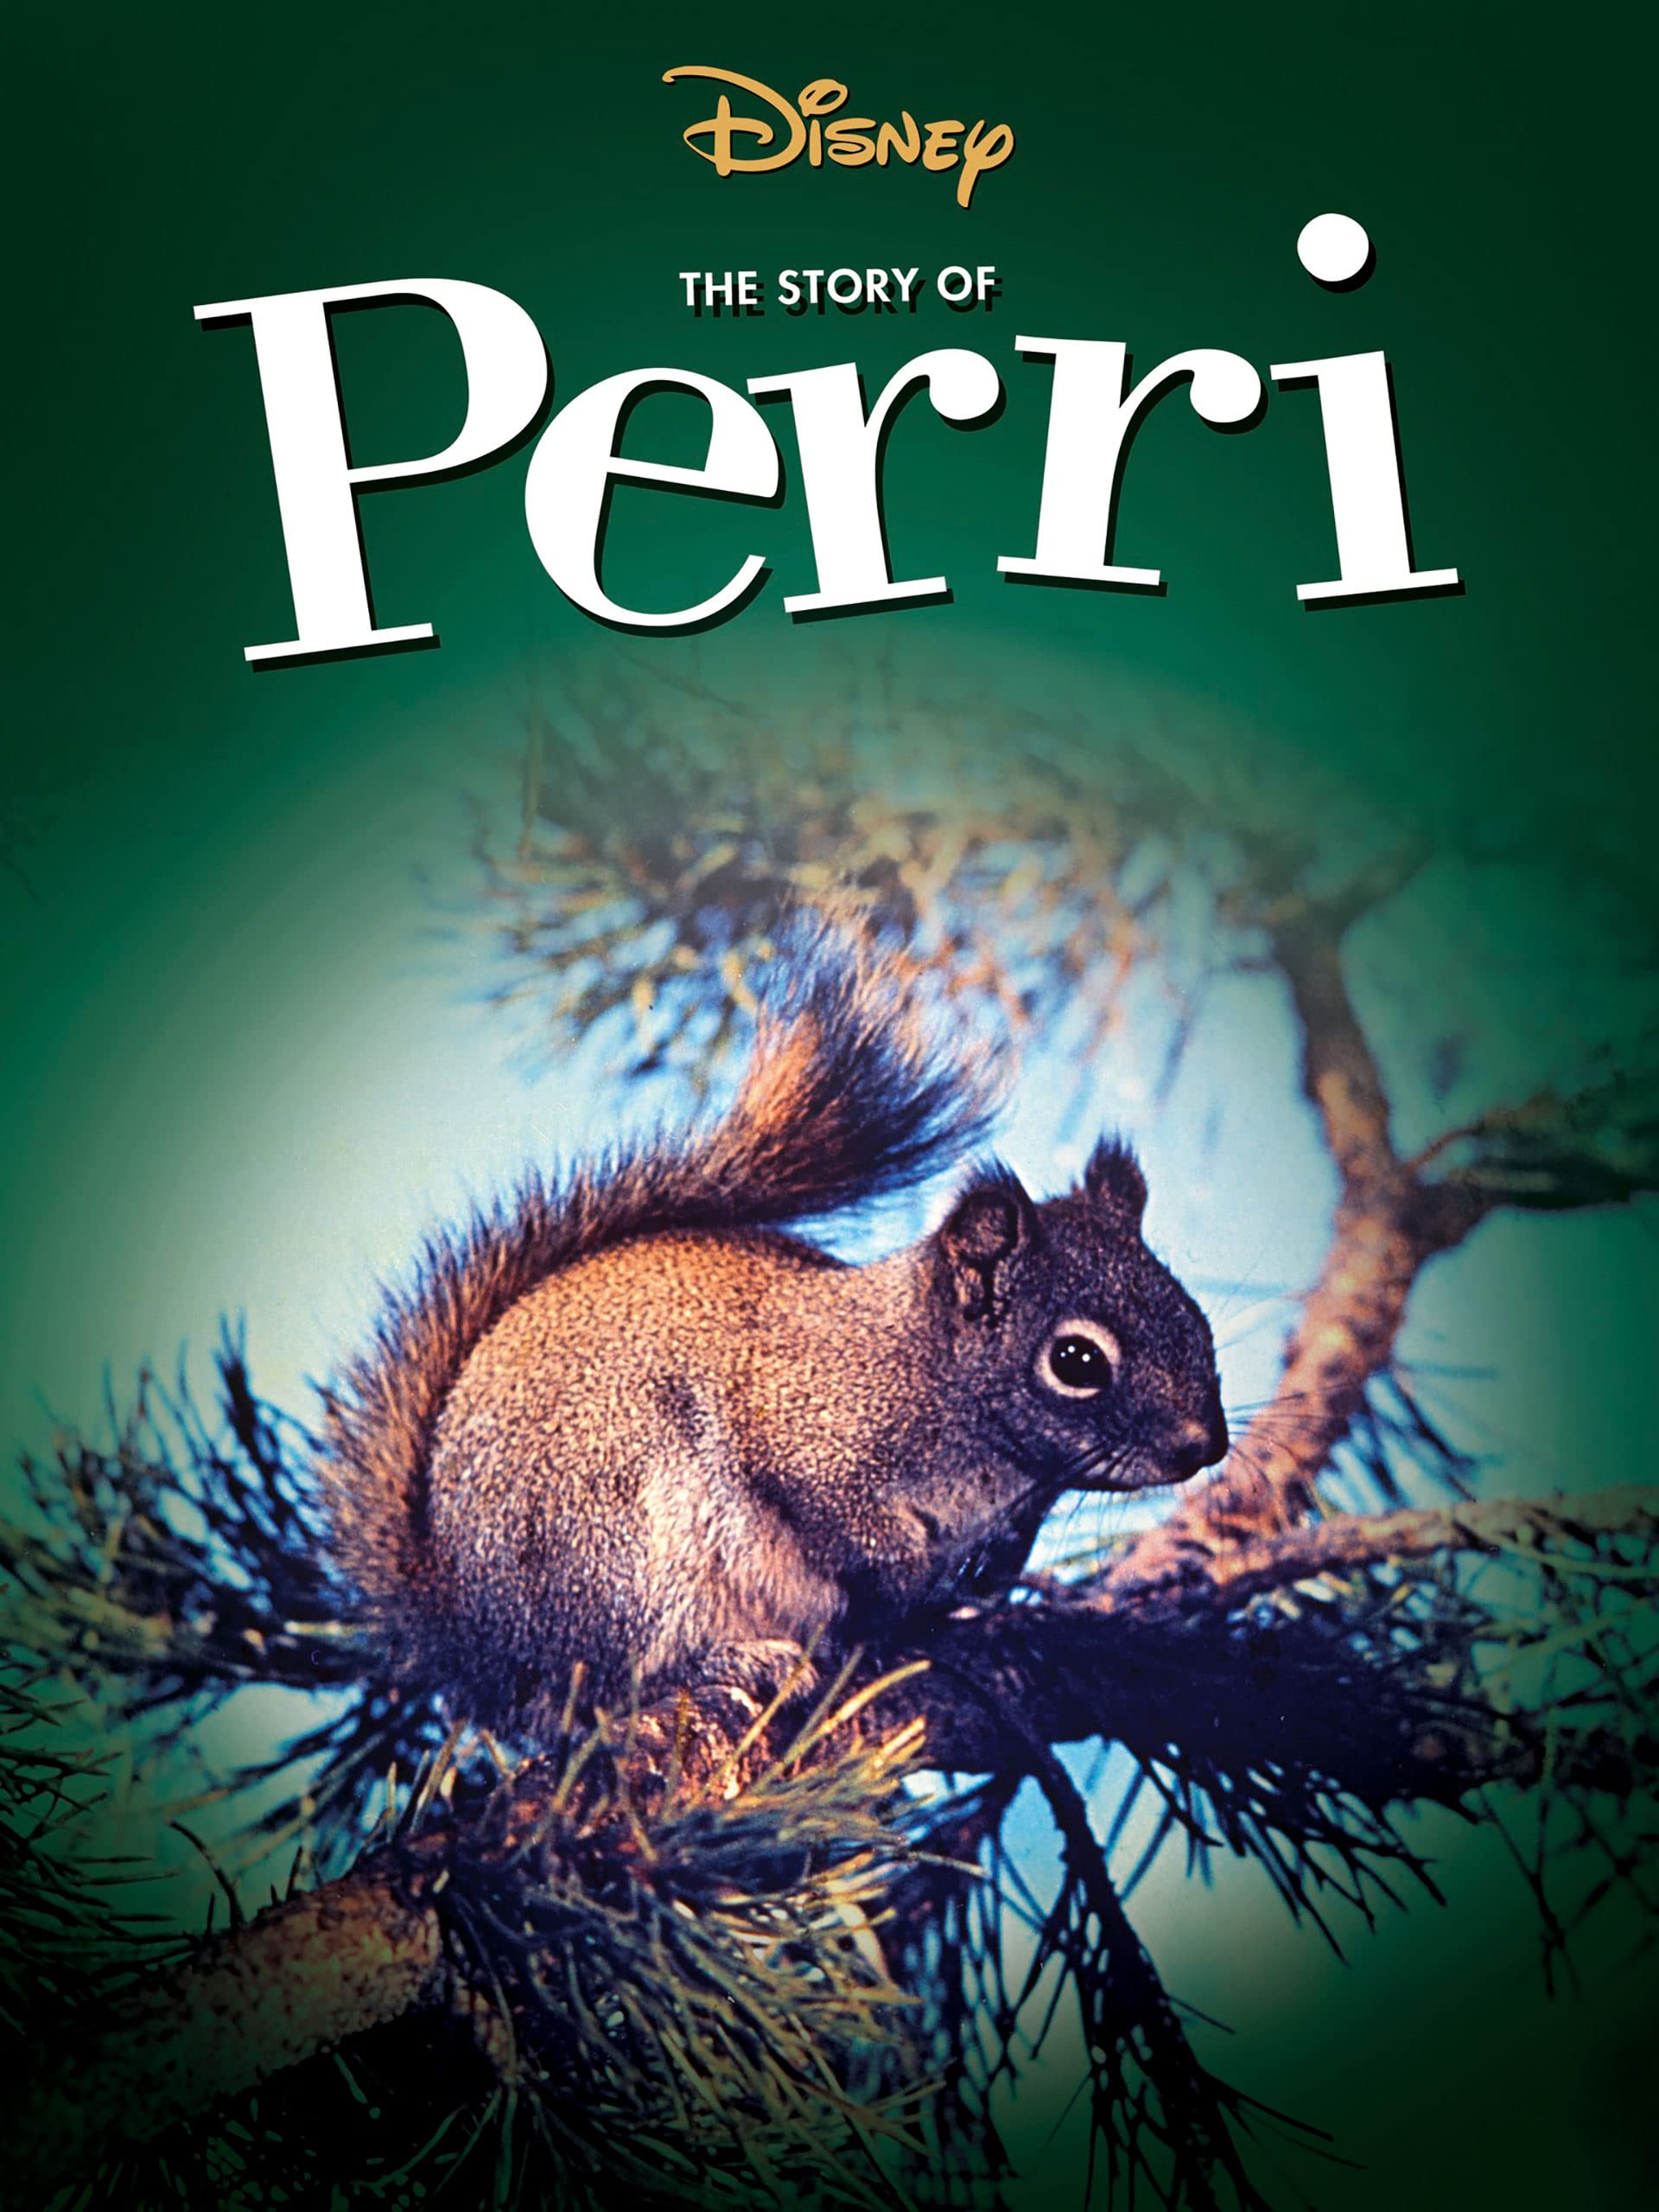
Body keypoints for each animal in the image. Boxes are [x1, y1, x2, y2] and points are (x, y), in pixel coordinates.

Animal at [318, 936, 1229, 1738]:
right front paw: (900, 1580)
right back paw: (734, 1663)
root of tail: (475, 1646)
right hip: (622, 1554)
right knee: (605, 1694)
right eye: (1076, 1361)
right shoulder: (807, 1426)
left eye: (1198, 1319)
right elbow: (835, 1514)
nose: (1205, 1447)